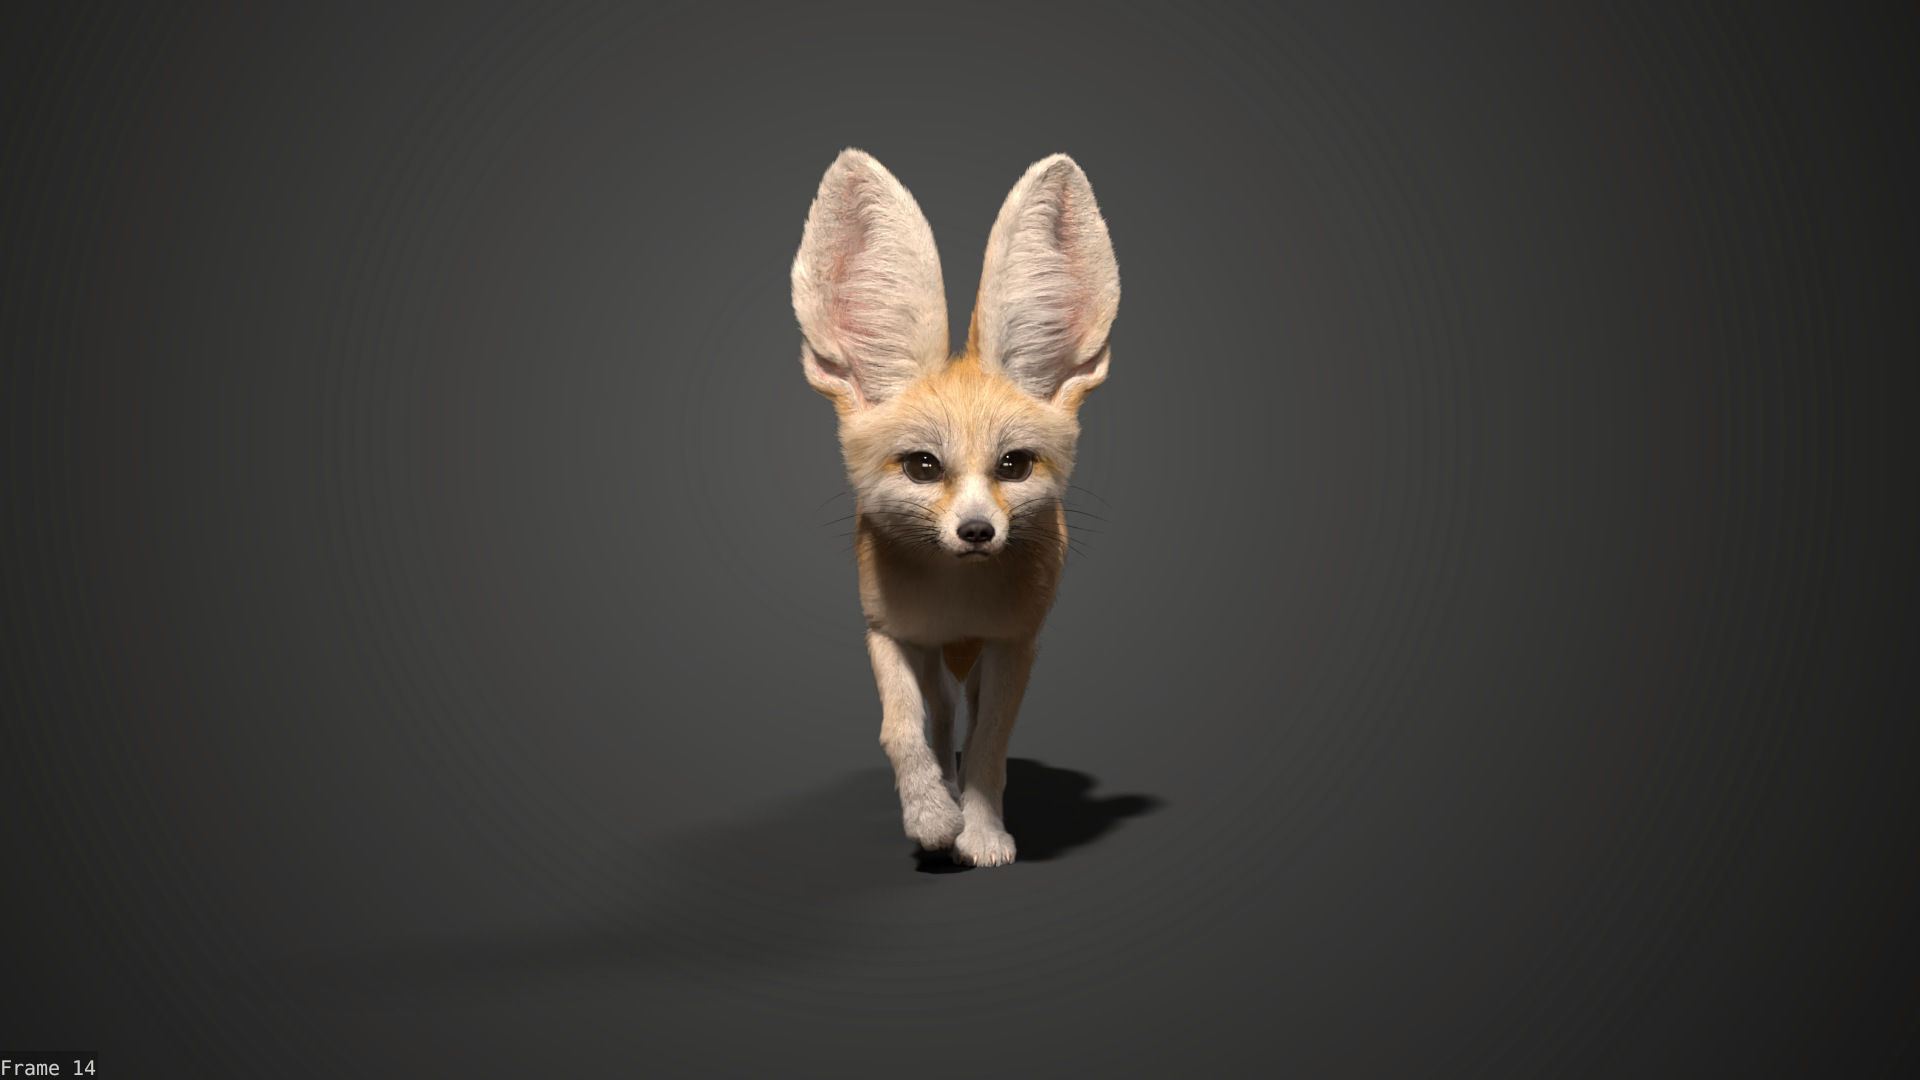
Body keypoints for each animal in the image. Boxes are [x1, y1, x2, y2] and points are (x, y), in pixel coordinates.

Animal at [790, 148, 1119, 867]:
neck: (957, 597)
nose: (976, 530)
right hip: (930, 656)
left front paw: (984, 831)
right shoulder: (889, 633)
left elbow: (991, 745)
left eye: (1013, 466)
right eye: (923, 467)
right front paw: (932, 815)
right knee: (939, 717)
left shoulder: (1014, 643)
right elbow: (902, 730)